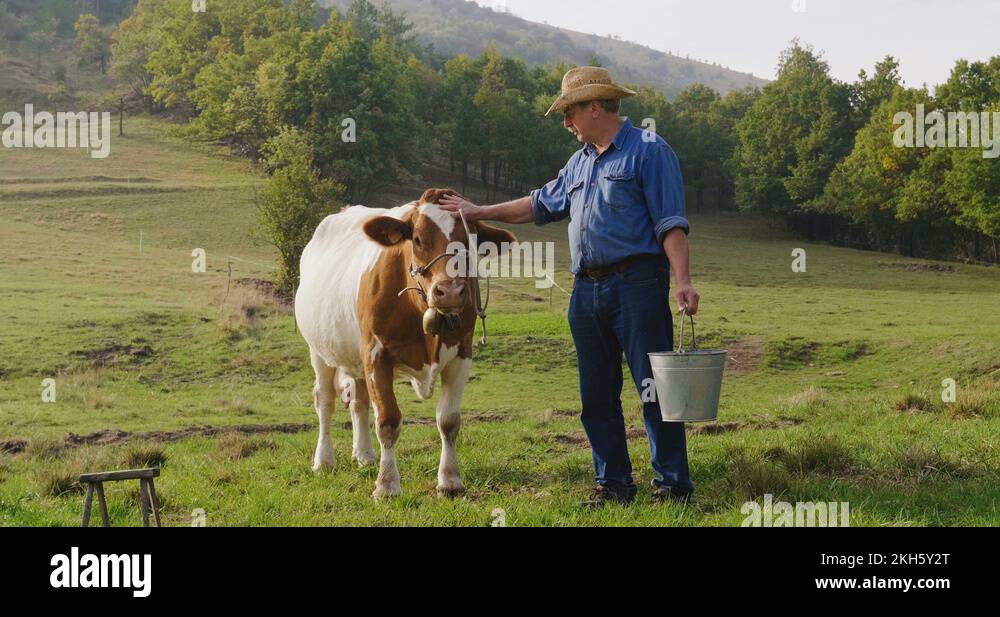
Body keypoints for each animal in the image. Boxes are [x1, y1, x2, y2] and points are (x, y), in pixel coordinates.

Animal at [294, 189, 516, 499]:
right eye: (418, 239)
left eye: (471, 240)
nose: (449, 292)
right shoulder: (376, 354)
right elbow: (388, 421)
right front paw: (387, 485)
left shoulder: (462, 353)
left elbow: (448, 420)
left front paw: (450, 481)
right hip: (320, 351)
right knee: (325, 401)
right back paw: (324, 461)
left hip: (355, 357)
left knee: (359, 402)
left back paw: (364, 455)